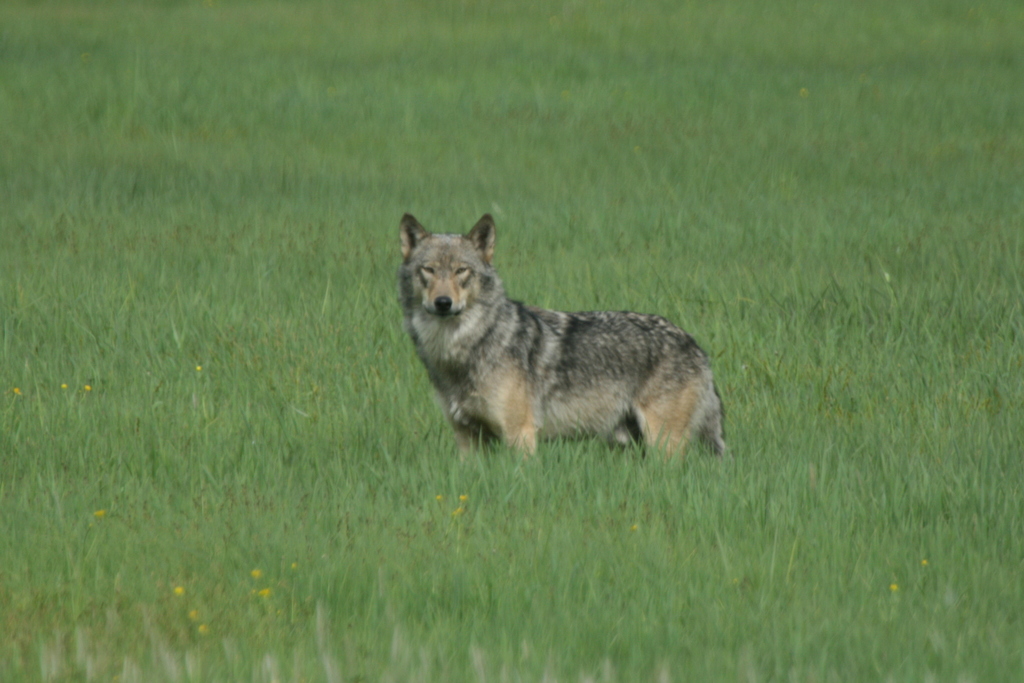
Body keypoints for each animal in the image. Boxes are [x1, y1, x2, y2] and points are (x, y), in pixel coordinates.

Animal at [398, 213, 725, 458]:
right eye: (428, 270)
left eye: (461, 271)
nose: (443, 303)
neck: (462, 350)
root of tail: (694, 343)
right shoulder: (467, 438)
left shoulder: (521, 435)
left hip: (662, 443)